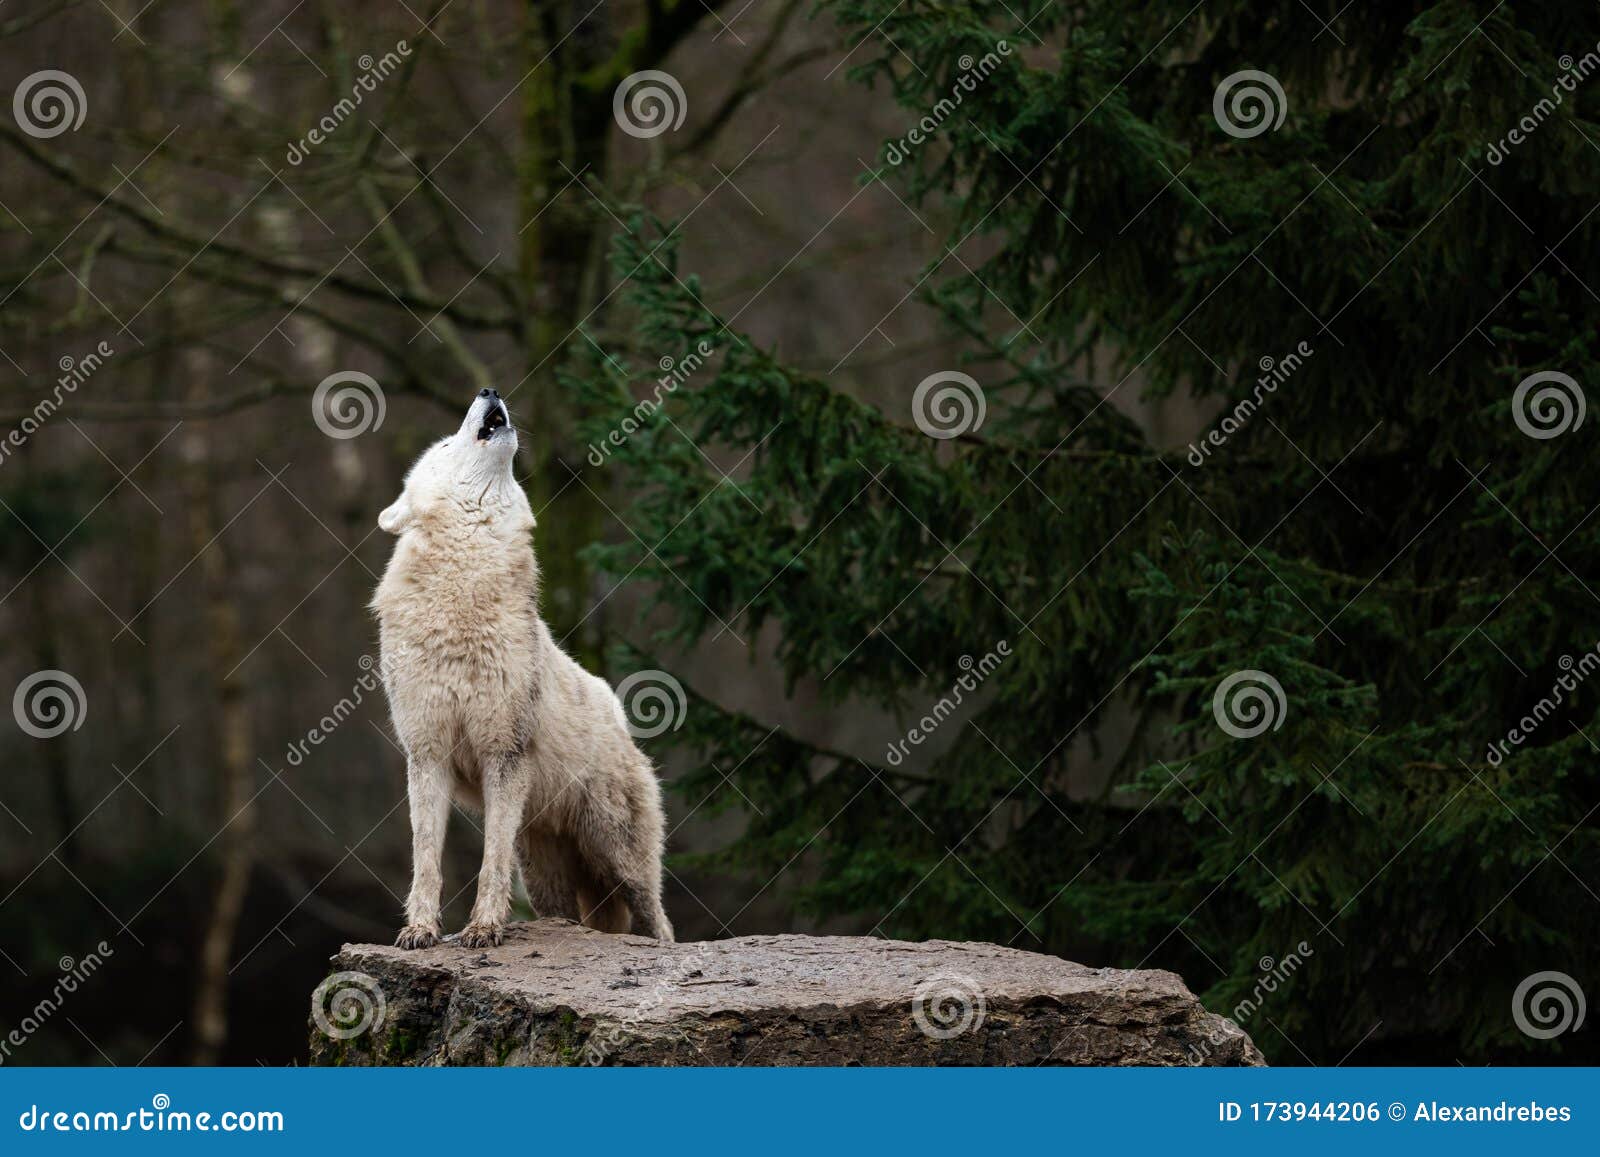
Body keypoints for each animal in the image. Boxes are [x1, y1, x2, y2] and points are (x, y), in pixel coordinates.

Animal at [371, 389, 672, 948]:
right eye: (445, 444)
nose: (489, 391)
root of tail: (618, 715)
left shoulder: (503, 754)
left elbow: (490, 863)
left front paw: (484, 928)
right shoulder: (427, 756)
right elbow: (425, 860)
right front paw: (420, 931)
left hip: (618, 857)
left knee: (658, 921)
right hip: (547, 869)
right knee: (569, 915)